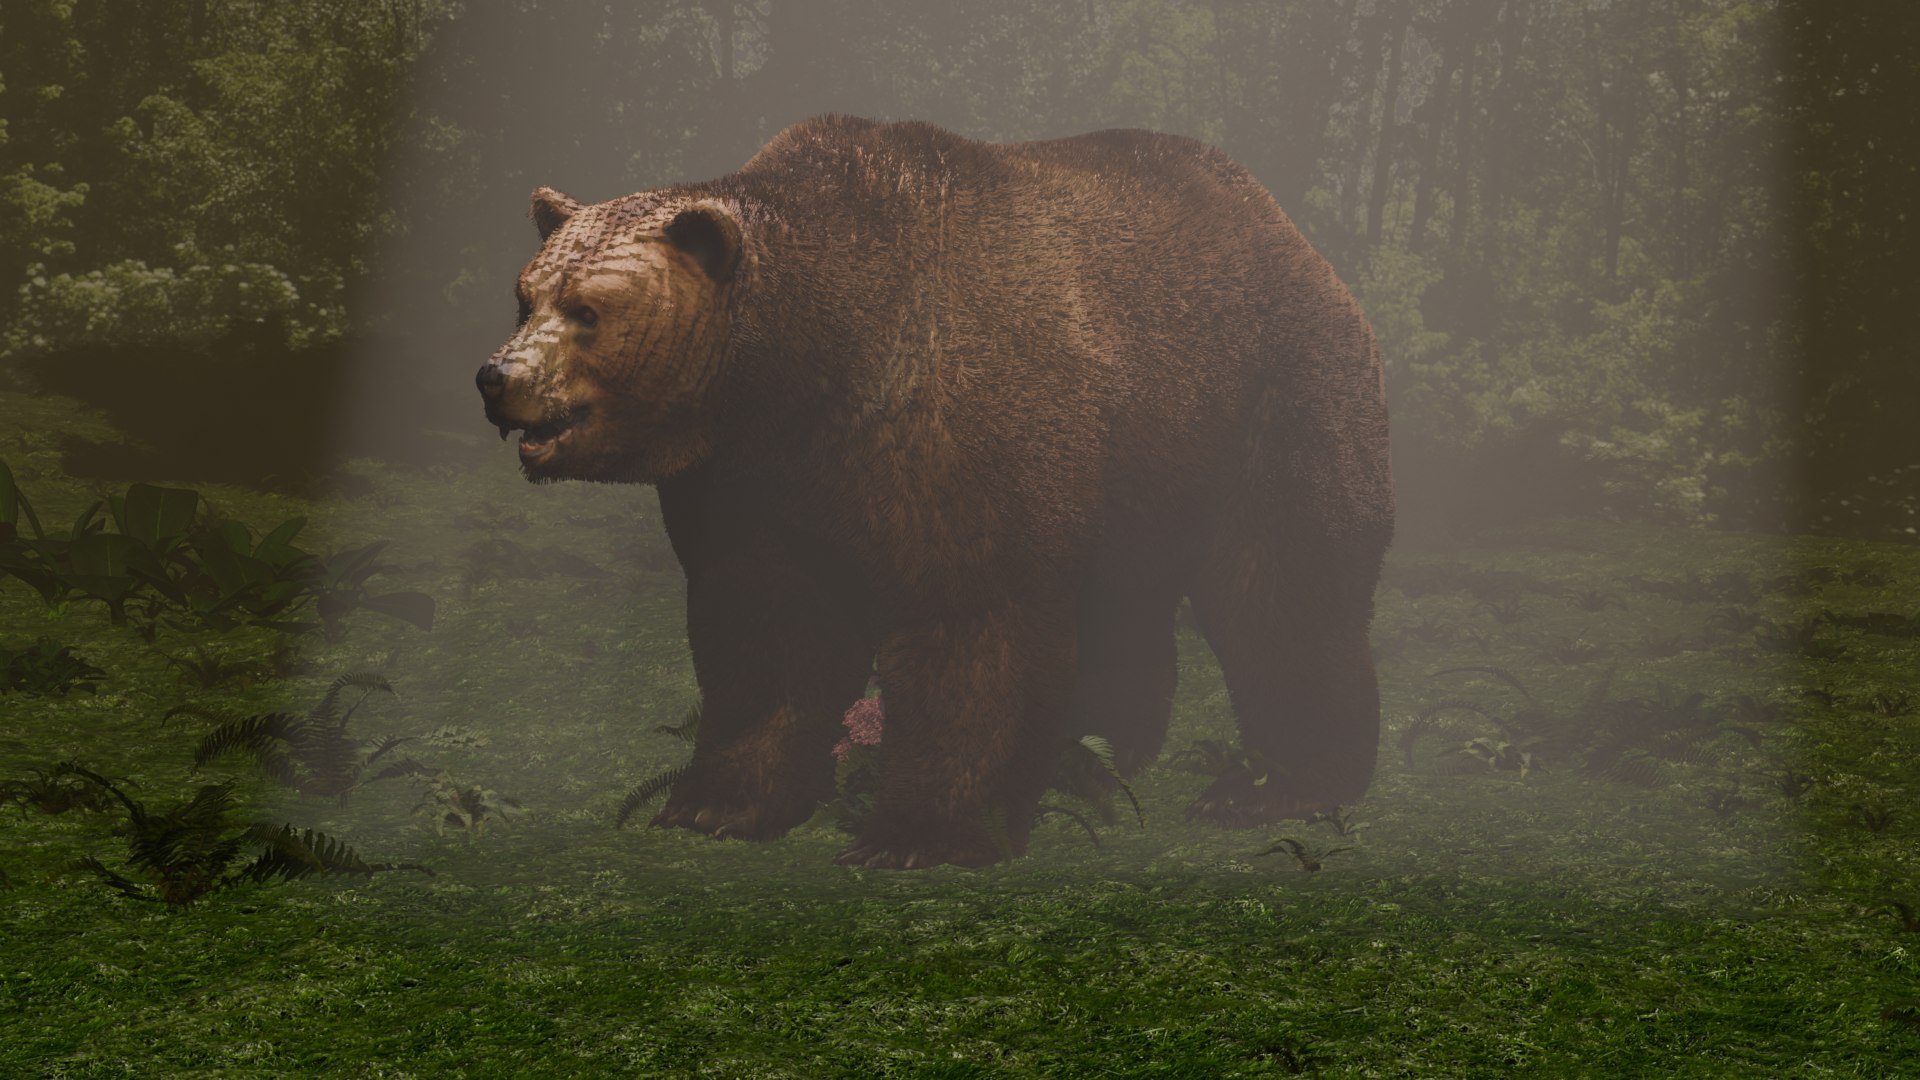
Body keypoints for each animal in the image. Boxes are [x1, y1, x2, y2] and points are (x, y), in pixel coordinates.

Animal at [476, 115, 1392, 869]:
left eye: (588, 310)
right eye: (525, 296)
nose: (498, 377)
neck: (806, 366)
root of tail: (1279, 222)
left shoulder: (951, 425)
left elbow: (974, 623)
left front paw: (921, 834)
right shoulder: (750, 479)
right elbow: (767, 626)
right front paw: (714, 804)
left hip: (1263, 396)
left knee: (1281, 589)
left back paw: (1270, 784)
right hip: (1137, 459)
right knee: (1124, 601)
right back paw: (1098, 747)